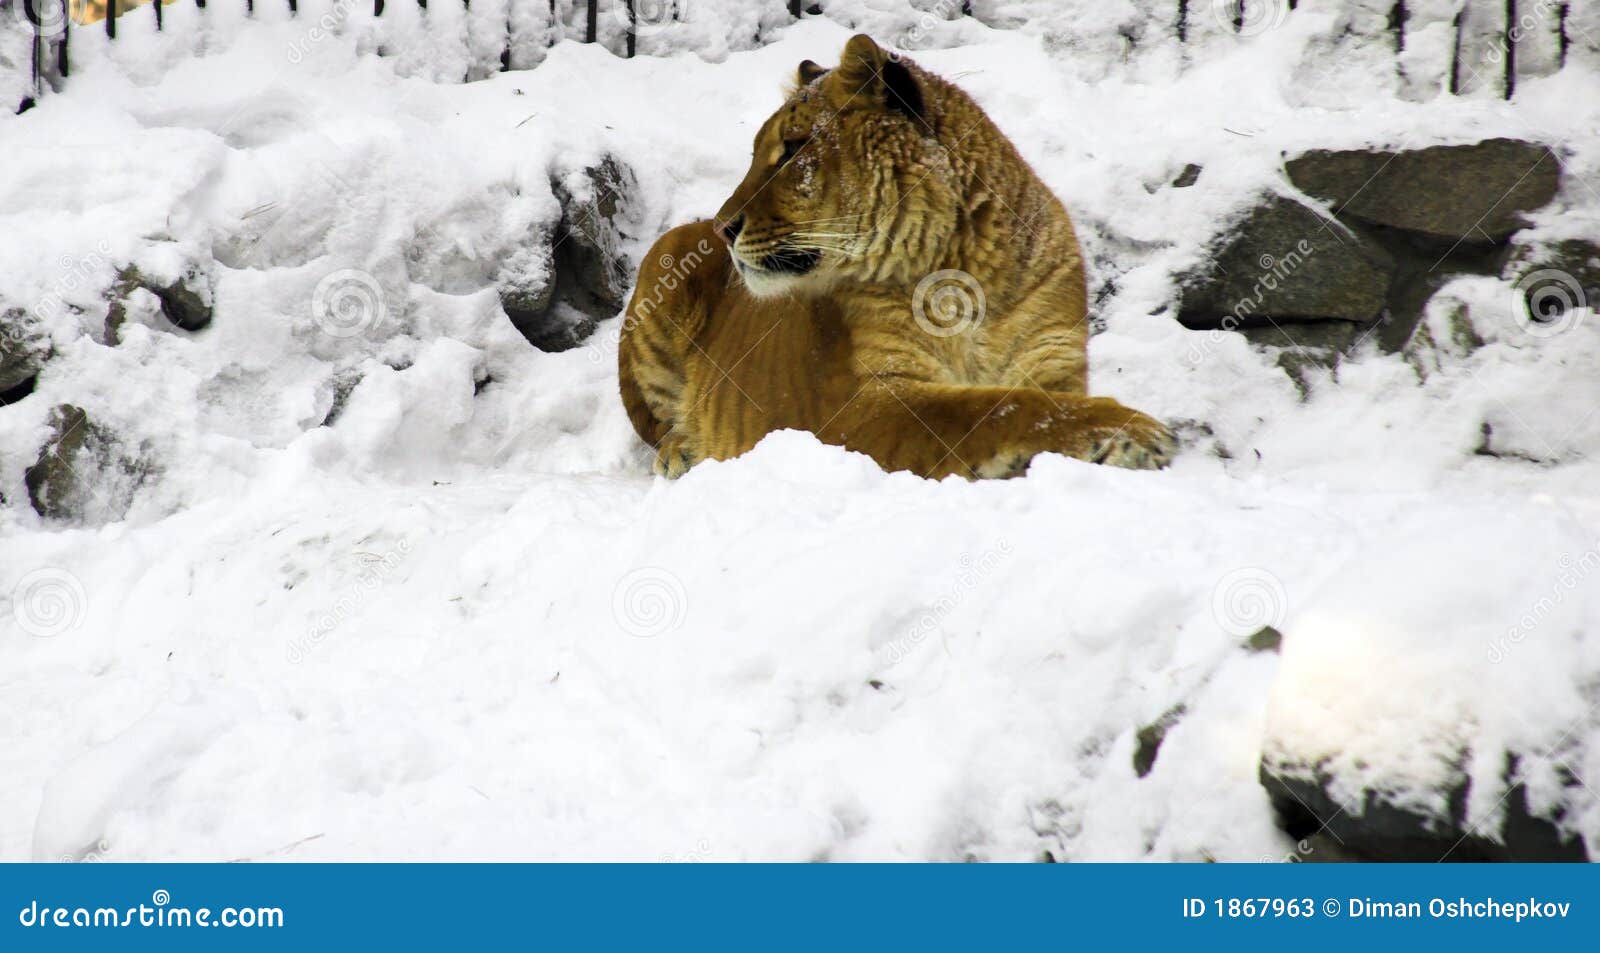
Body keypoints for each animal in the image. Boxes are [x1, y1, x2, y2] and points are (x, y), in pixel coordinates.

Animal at [618, 34, 1175, 480]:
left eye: (792, 149)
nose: (724, 226)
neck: (967, 272)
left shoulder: (1054, 361)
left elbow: (1039, 401)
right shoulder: (861, 408)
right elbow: (998, 408)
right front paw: (1132, 430)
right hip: (665, 258)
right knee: (657, 426)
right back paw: (682, 451)